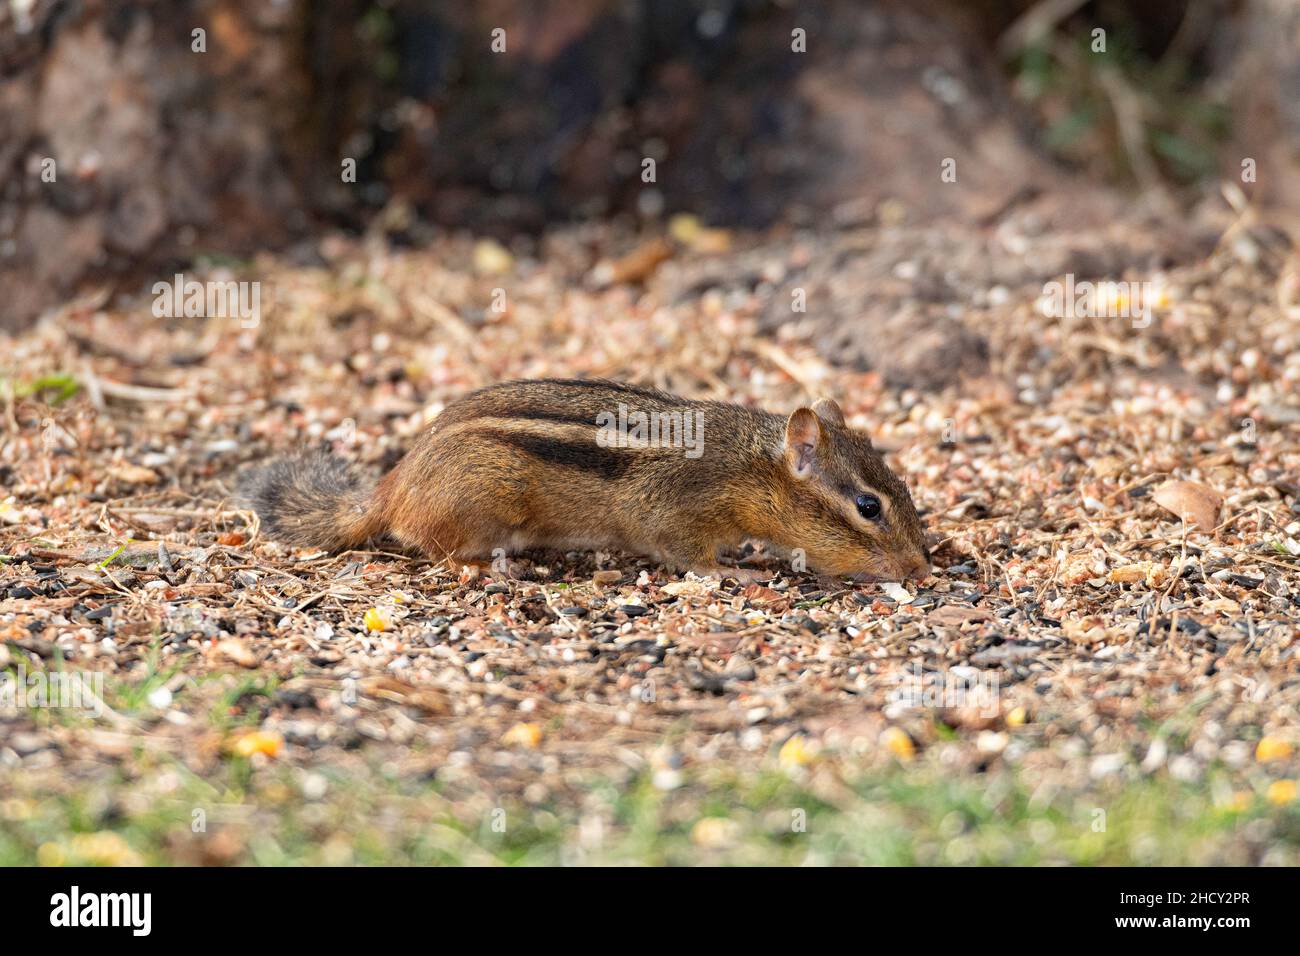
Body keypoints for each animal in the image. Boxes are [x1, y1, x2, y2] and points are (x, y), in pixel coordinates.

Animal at [239, 378, 931, 582]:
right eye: (868, 506)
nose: (922, 569)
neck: (748, 466)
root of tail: (394, 484)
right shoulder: (670, 512)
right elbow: (689, 556)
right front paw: (737, 571)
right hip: (486, 498)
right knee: (437, 549)